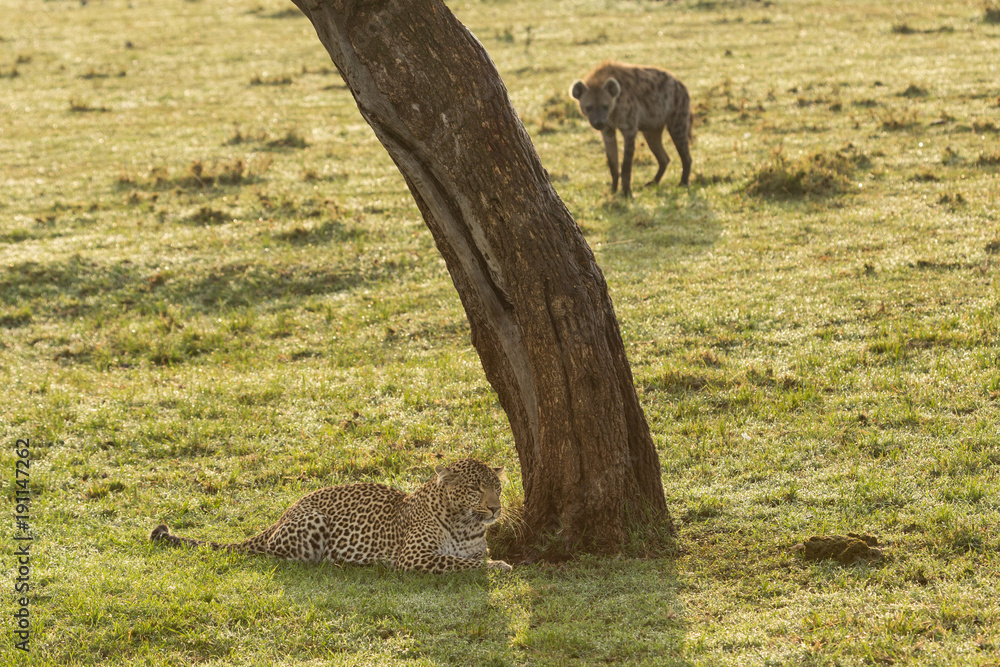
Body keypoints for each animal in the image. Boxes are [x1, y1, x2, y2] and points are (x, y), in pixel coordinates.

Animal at [150, 458, 512, 573]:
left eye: (497, 487)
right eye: (476, 488)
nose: (496, 508)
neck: (466, 525)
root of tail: (278, 518)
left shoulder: (474, 547)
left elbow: (470, 559)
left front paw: (495, 563)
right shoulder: (413, 557)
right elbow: (459, 563)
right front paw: (499, 567)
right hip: (313, 522)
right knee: (283, 557)